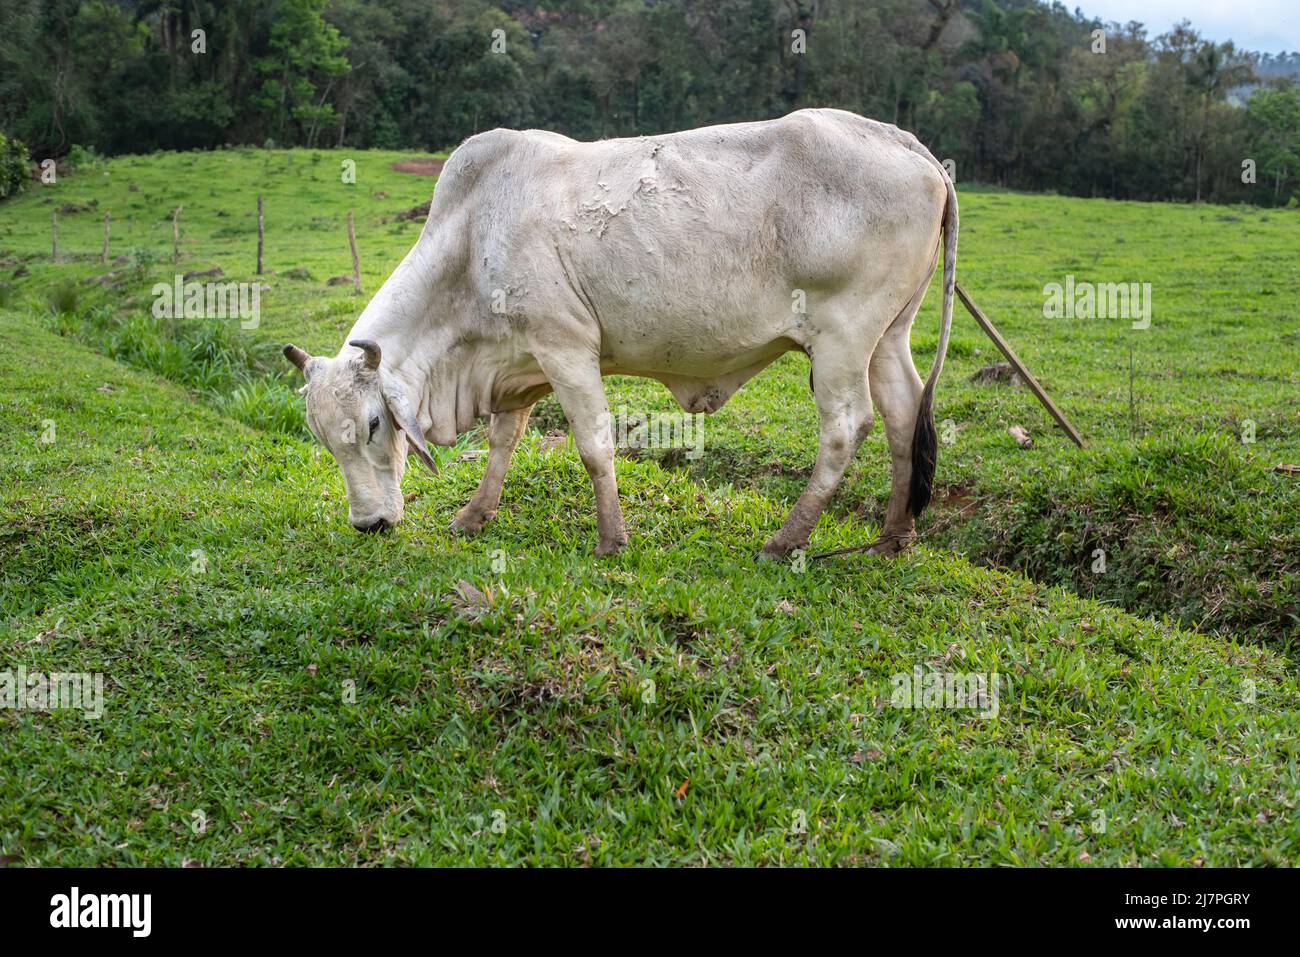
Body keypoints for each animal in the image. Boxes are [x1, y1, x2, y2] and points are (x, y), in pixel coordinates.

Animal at [283, 108, 956, 558]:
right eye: (324, 439)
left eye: (374, 424)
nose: (369, 524)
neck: (471, 239)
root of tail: (907, 143)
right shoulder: (520, 361)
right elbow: (503, 441)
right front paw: (474, 516)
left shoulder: (565, 347)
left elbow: (593, 444)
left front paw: (611, 539)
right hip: (888, 335)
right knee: (902, 416)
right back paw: (894, 536)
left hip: (843, 337)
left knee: (846, 427)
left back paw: (785, 540)